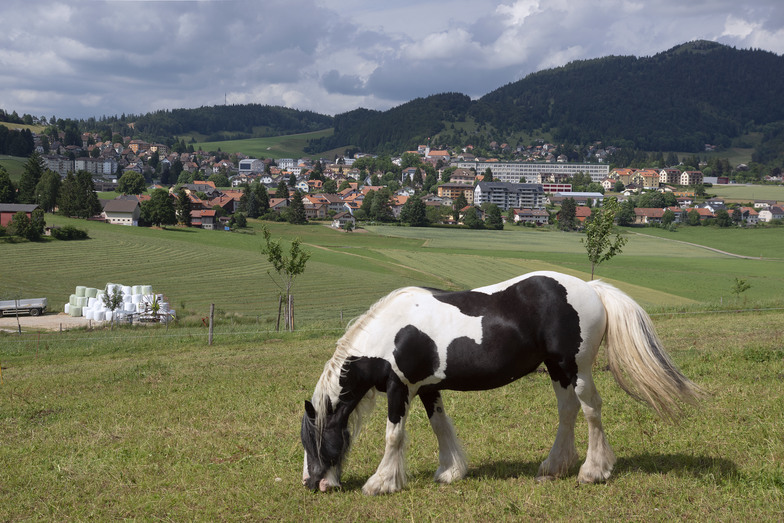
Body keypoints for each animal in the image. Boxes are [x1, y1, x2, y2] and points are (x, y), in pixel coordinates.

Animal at [300, 272, 704, 498]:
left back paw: (593, 471)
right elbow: (441, 427)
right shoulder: (429, 389)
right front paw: (450, 471)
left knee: (591, 409)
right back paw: (553, 467)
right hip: (556, 369)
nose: (313, 484)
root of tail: (591, 288)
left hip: (575, 368)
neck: (389, 335)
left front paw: (381, 483)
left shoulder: (402, 387)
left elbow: (394, 436)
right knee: (568, 411)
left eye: (312, 441)